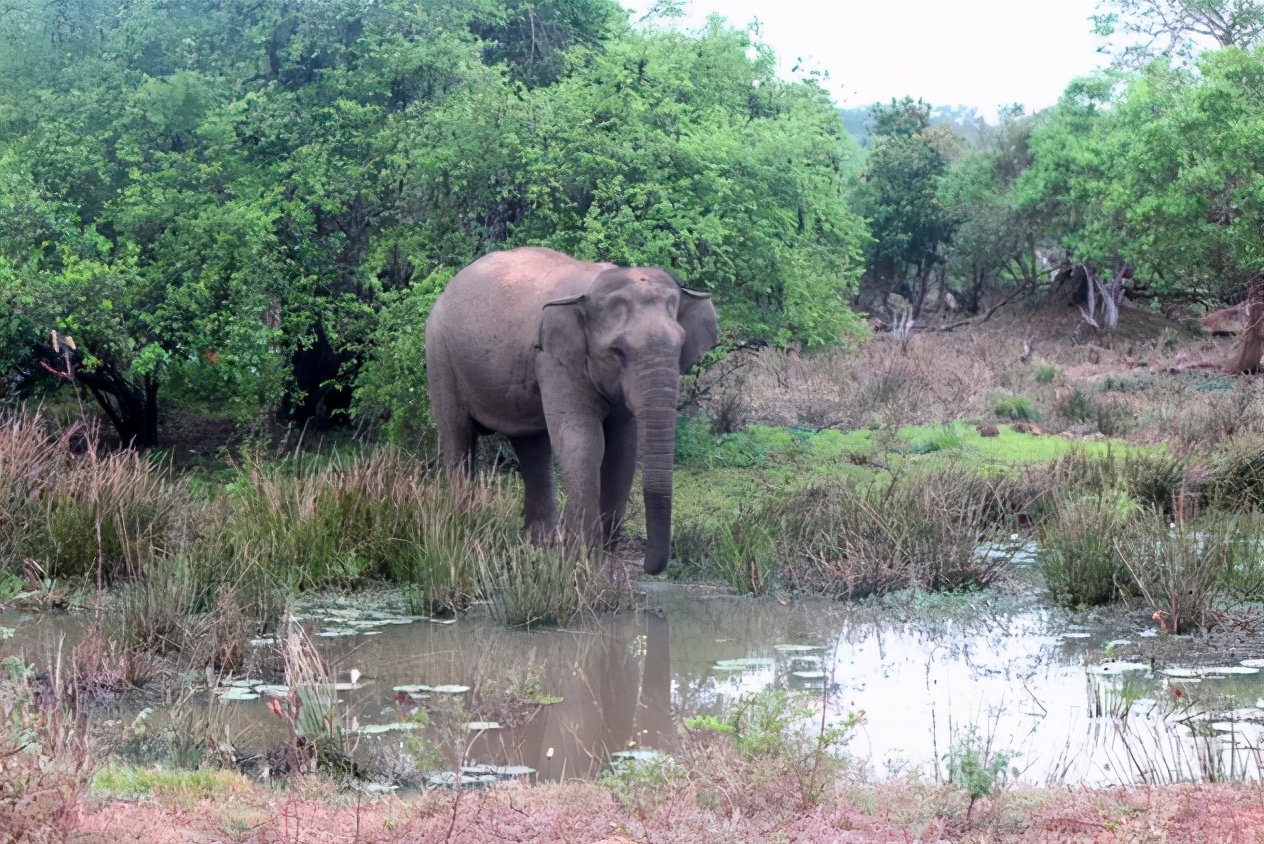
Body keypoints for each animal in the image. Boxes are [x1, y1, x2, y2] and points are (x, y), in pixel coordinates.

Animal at [424, 246, 719, 575]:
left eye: (681, 346)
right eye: (618, 352)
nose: (646, 565)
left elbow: (623, 448)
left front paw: (603, 550)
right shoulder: (555, 358)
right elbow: (583, 442)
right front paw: (583, 555)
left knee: (532, 446)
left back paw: (539, 542)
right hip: (439, 353)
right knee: (457, 435)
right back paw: (463, 524)